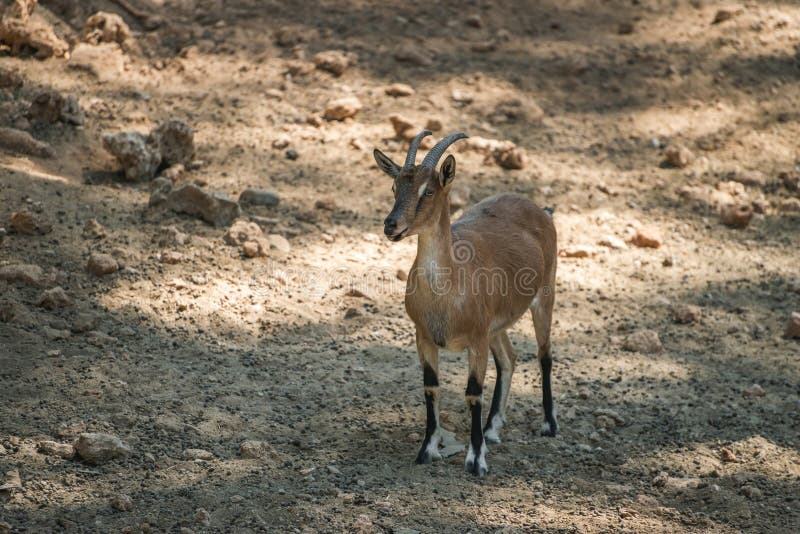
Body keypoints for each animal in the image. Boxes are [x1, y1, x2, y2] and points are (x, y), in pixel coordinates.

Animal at [373, 131, 558, 476]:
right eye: (394, 187)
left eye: (428, 190)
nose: (391, 225)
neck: (445, 296)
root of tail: (541, 210)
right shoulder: (424, 338)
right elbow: (431, 388)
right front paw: (427, 450)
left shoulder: (476, 339)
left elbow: (473, 393)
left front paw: (476, 461)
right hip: (496, 327)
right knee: (510, 358)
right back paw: (491, 429)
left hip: (544, 296)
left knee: (544, 355)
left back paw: (549, 425)